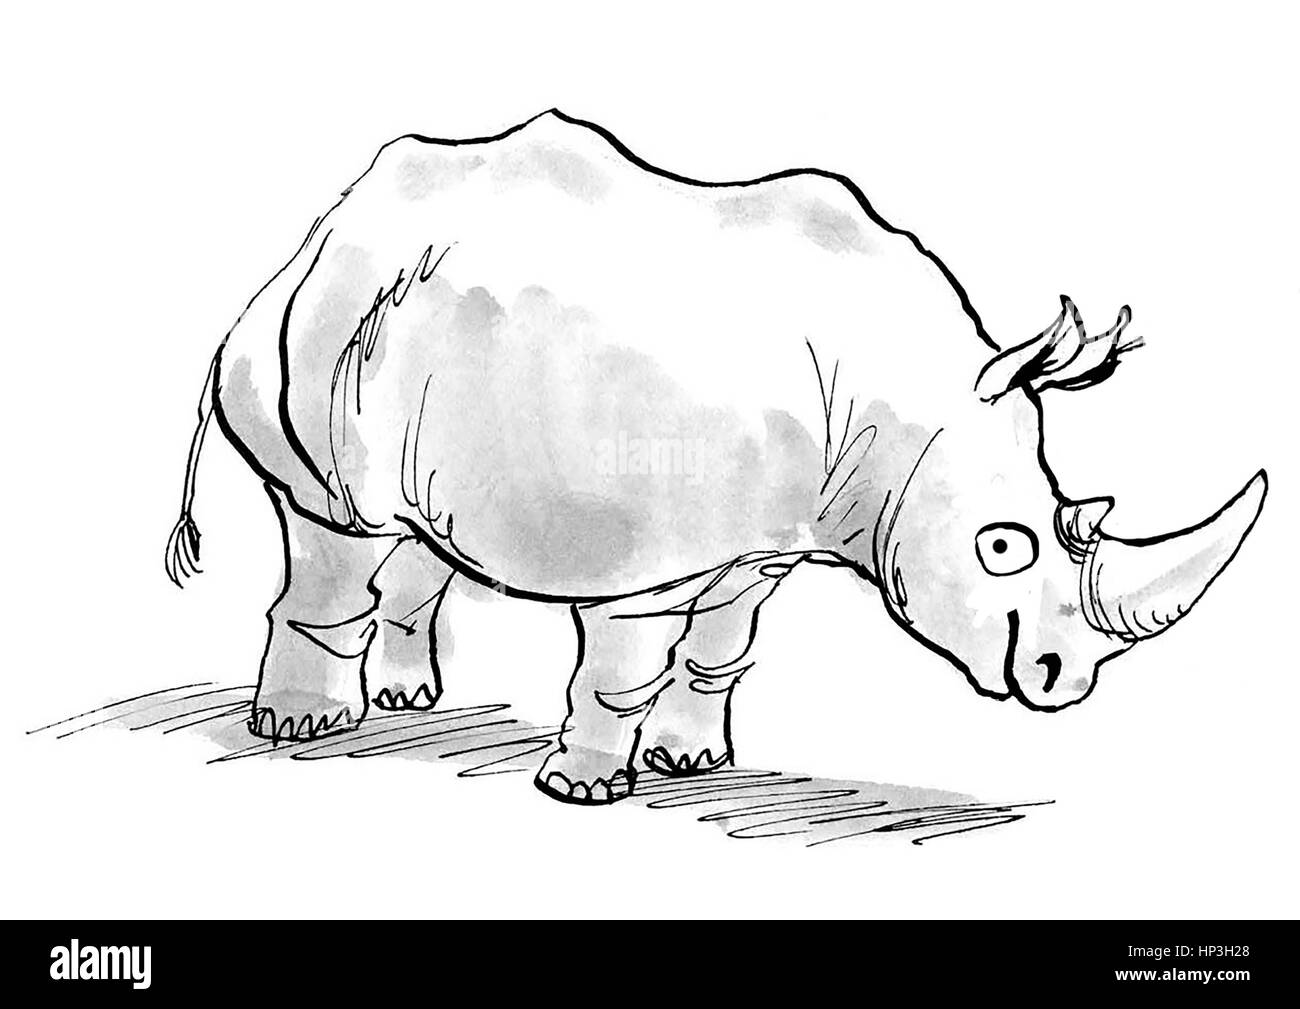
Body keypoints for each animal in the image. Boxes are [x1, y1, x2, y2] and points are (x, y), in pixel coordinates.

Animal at [166, 110, 1266, 804]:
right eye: (1002, 547)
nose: (1062, 679)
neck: (912, 405)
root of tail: (331, 221)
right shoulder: (652, 555)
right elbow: (626, 661)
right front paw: (585, 786)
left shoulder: (767, 541)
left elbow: (723, 645)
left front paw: (690, 761)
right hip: (313, 333)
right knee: (332, 524)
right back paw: (303, 730)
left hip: (401, 334)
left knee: (420, 527)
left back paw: (404, 699)